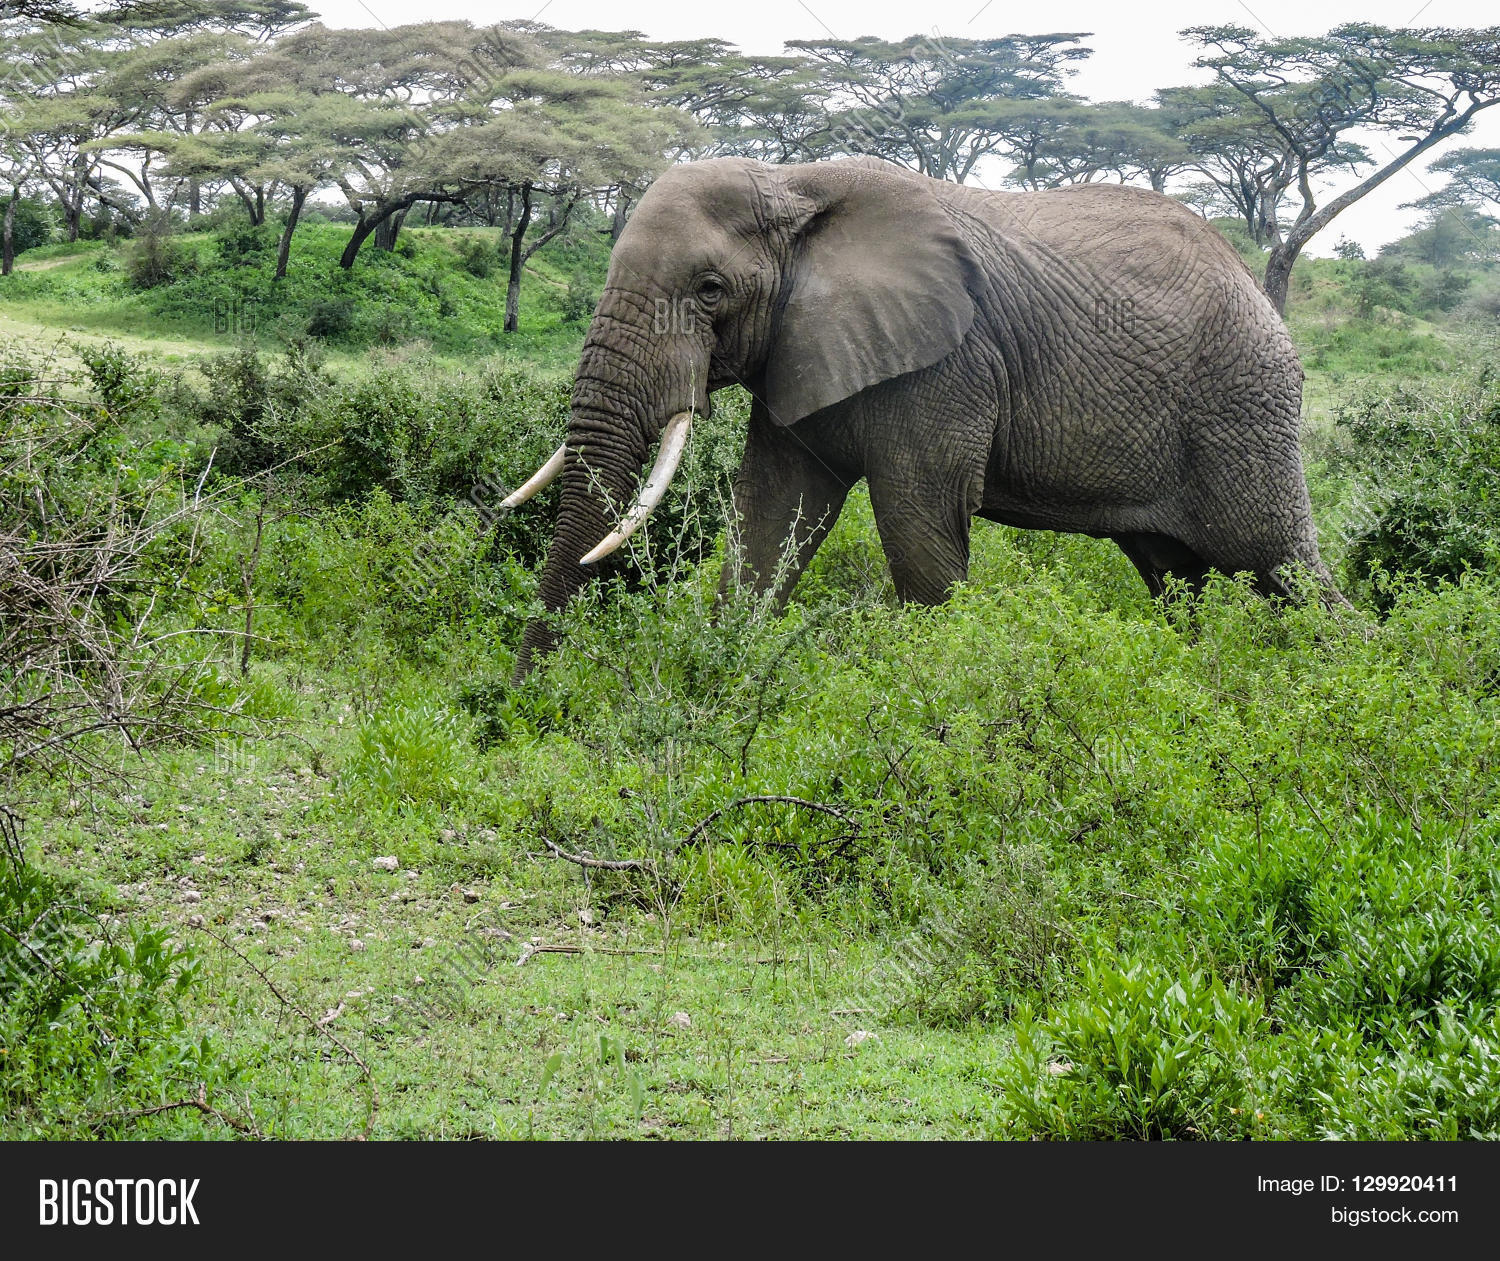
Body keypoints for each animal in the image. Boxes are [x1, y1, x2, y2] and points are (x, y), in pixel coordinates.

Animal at [504, 155, 1343, 679]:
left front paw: (936, 695)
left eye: (710, 289)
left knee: (1282, 564)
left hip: (1241, 404)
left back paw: (1347, 676)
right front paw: (720, 666)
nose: (521, 697)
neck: (792, 185)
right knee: (1175, 575)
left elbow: (919, 526)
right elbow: (772, 514)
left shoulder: (948, 366)